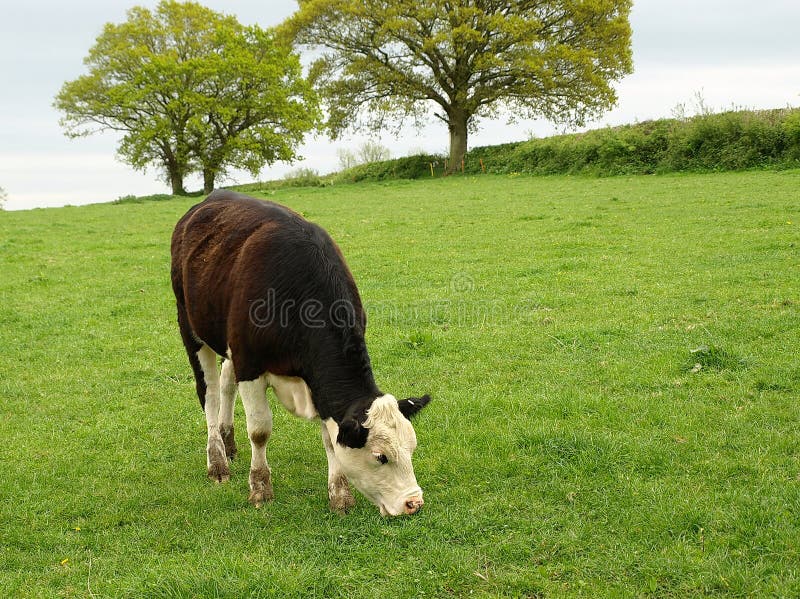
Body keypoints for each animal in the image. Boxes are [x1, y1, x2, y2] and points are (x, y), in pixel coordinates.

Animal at [170, 190, 430, 516]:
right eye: (380, 456)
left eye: (412, 447)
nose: (414, 502)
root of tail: (212, 197)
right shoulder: (251, 364)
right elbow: (259, 430)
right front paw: (260, 489)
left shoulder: (313, 378)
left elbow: (329, 439)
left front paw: (340, 495)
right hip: (190, 326)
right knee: (210, 393)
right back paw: (217, 462)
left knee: (227, 381)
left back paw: (228, 443)